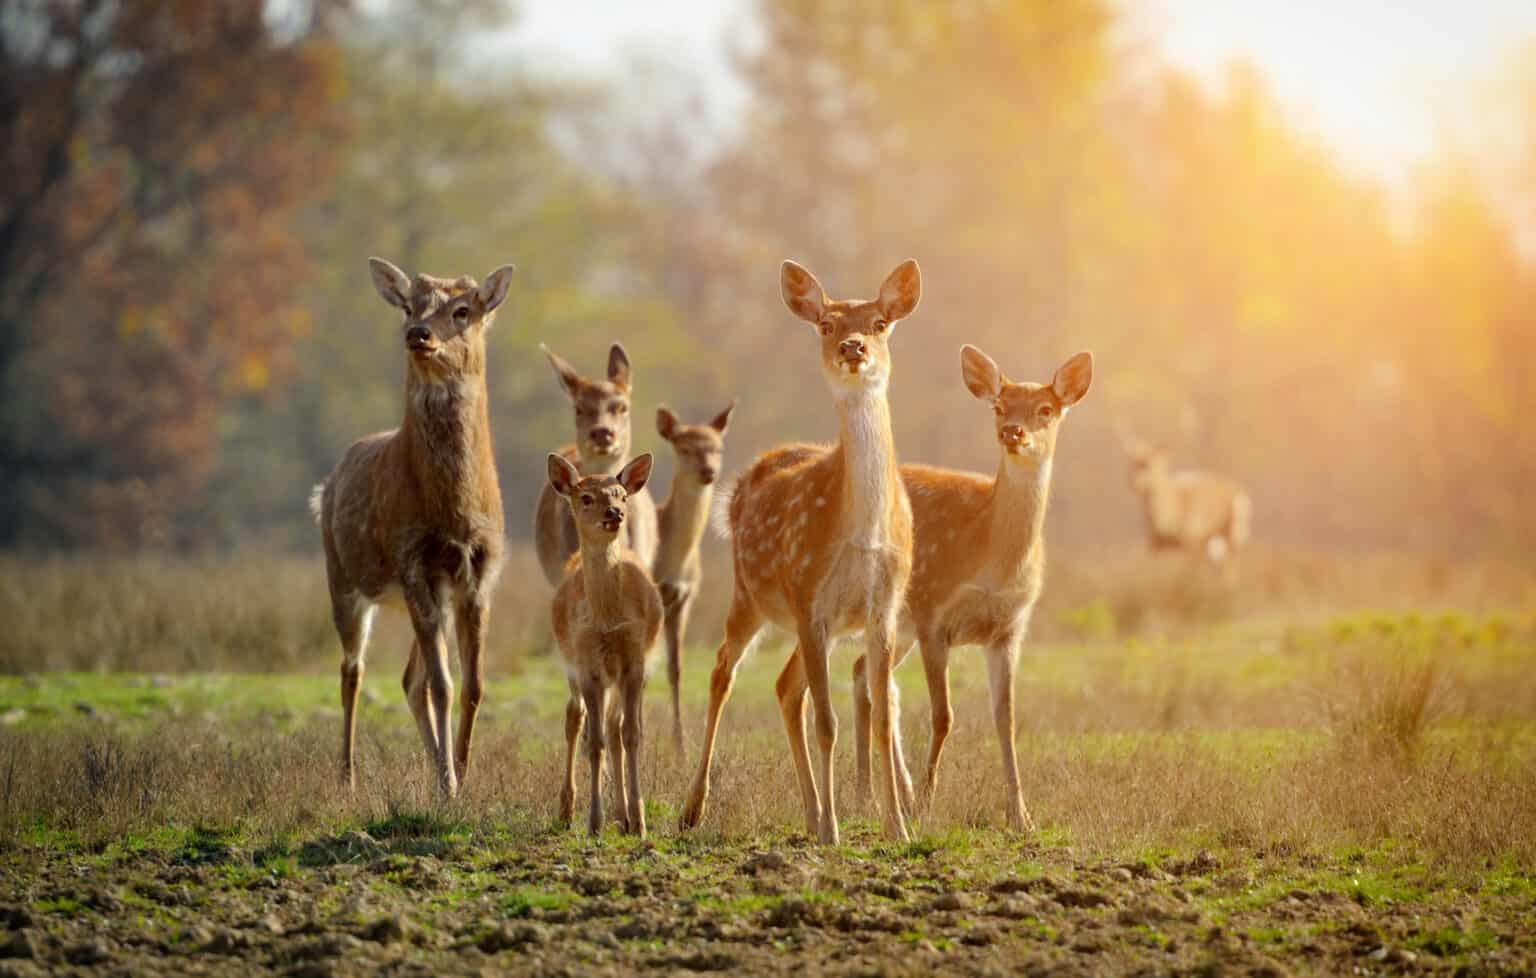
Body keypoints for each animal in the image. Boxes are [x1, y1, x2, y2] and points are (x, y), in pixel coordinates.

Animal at [311, 257, 515, 801]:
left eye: (463, 310)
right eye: (408, 305)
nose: (418, 333)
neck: (455, 514)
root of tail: (328, 484)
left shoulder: (480, 573)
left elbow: (473, 684)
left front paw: (460, 771)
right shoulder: (412, 559)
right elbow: (443, 684)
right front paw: (450, 782)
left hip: (424, 595)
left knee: (408, 679)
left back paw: (433, 765)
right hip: (343, 576)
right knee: (353, 671)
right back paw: (347, 776)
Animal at [547, 452, 663, 836]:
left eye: (622, 495)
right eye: (586, 497)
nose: (615, 512)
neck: (607, 619)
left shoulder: (635, 660)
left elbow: (631, 735)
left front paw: (639, 822)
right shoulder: (588, 664)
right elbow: (593, 742)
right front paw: (593, 824)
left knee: (614, 729)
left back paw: (622, 815)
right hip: (571, 664)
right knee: (575, 719)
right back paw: (566, 810)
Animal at [680, 259, 921, 845]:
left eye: (880, 323)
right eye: (826, 324)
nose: (853, 347)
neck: (862, 531)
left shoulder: (882, 608)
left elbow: (881, 718)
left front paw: (897, 828)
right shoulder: (810, 596)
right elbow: (828, 722)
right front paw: (836, 830)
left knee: (786, 687)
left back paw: (810, 813)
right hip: (750, 595)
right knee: (722, 673)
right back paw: (693, 809)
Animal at [846, 346, 1093, 831]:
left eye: (1046, 409)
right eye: (998, 405)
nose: (1012, 430)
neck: (992, 560)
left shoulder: (1008, 631)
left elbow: (1007, 720)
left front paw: (1021, 815)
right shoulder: (932, 614)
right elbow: (944, 716)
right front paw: (926, 804)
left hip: (898, 627)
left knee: (863, 673)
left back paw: (878, 795)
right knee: (871, 680)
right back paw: (879, 796)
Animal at [1116, 425, 1251, 565]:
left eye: (1149, 464)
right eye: (1131, 463)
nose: (1134, 483)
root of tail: (1239, 492)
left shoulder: (1190, 542)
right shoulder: (1155, 545)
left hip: (1233, 534)